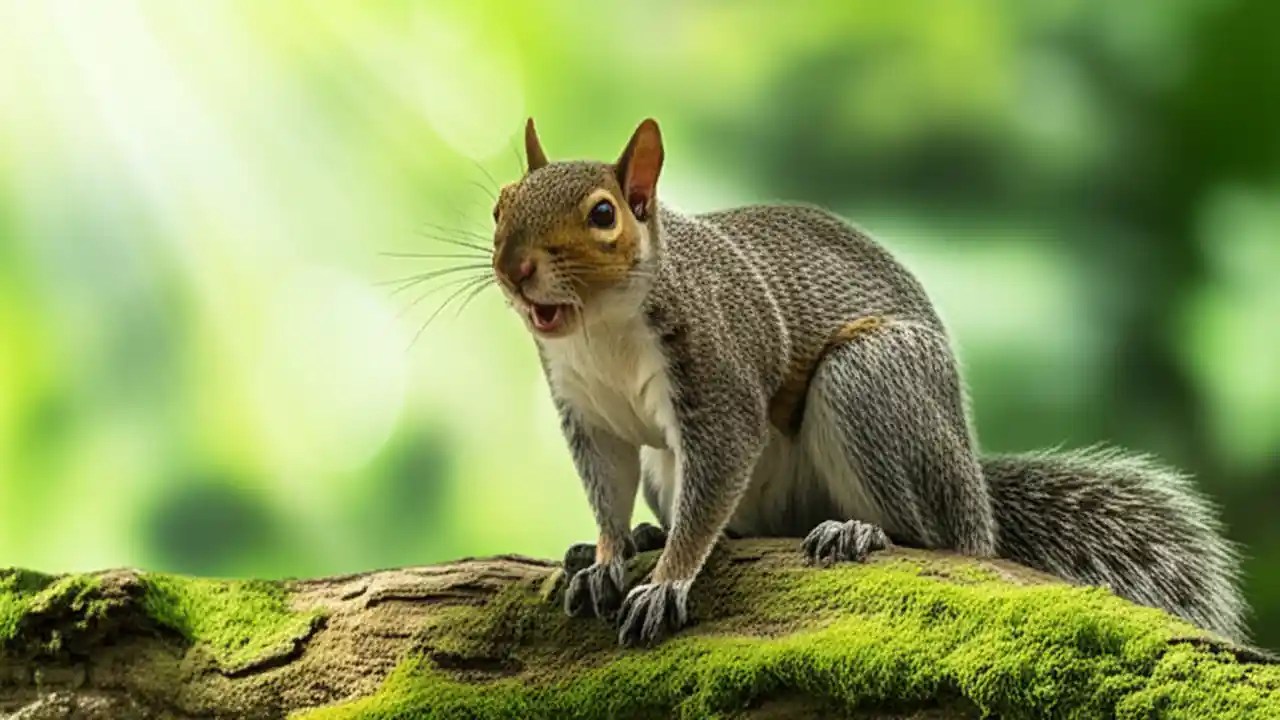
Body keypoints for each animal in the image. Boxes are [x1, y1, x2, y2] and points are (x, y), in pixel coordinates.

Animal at [487, 117, 1247, 648]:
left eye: (604, 214)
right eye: (500, 205)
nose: (515, 269)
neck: (600, 331)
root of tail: (976, 494)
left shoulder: (719, 377)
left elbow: (712, 488)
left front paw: (668, 581)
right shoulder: (591, 418)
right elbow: (605, 492)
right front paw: (610, 556)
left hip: (867, 382)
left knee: (936, 538)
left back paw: (860, 533)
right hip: (671, 465)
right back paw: (653, 535)